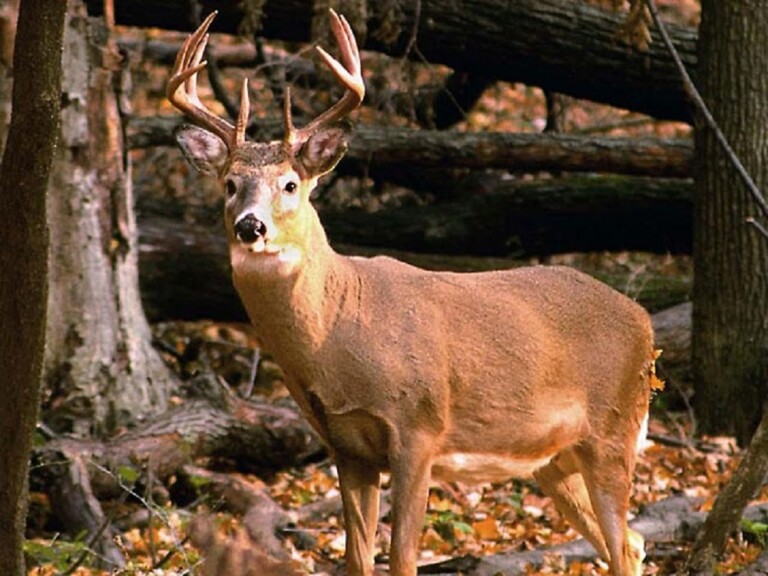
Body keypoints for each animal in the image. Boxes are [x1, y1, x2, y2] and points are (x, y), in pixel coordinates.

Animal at [167, 10, 654, 576]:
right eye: (229, 183)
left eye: (291, 184)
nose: (251, 226)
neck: (340, 333)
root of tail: (644, 320)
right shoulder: (346, 446)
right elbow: (357, 560)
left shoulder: (419, 429)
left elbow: (402, 559)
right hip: (553, 459)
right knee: (632, 543)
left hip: (614, 430)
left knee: (624, 542)